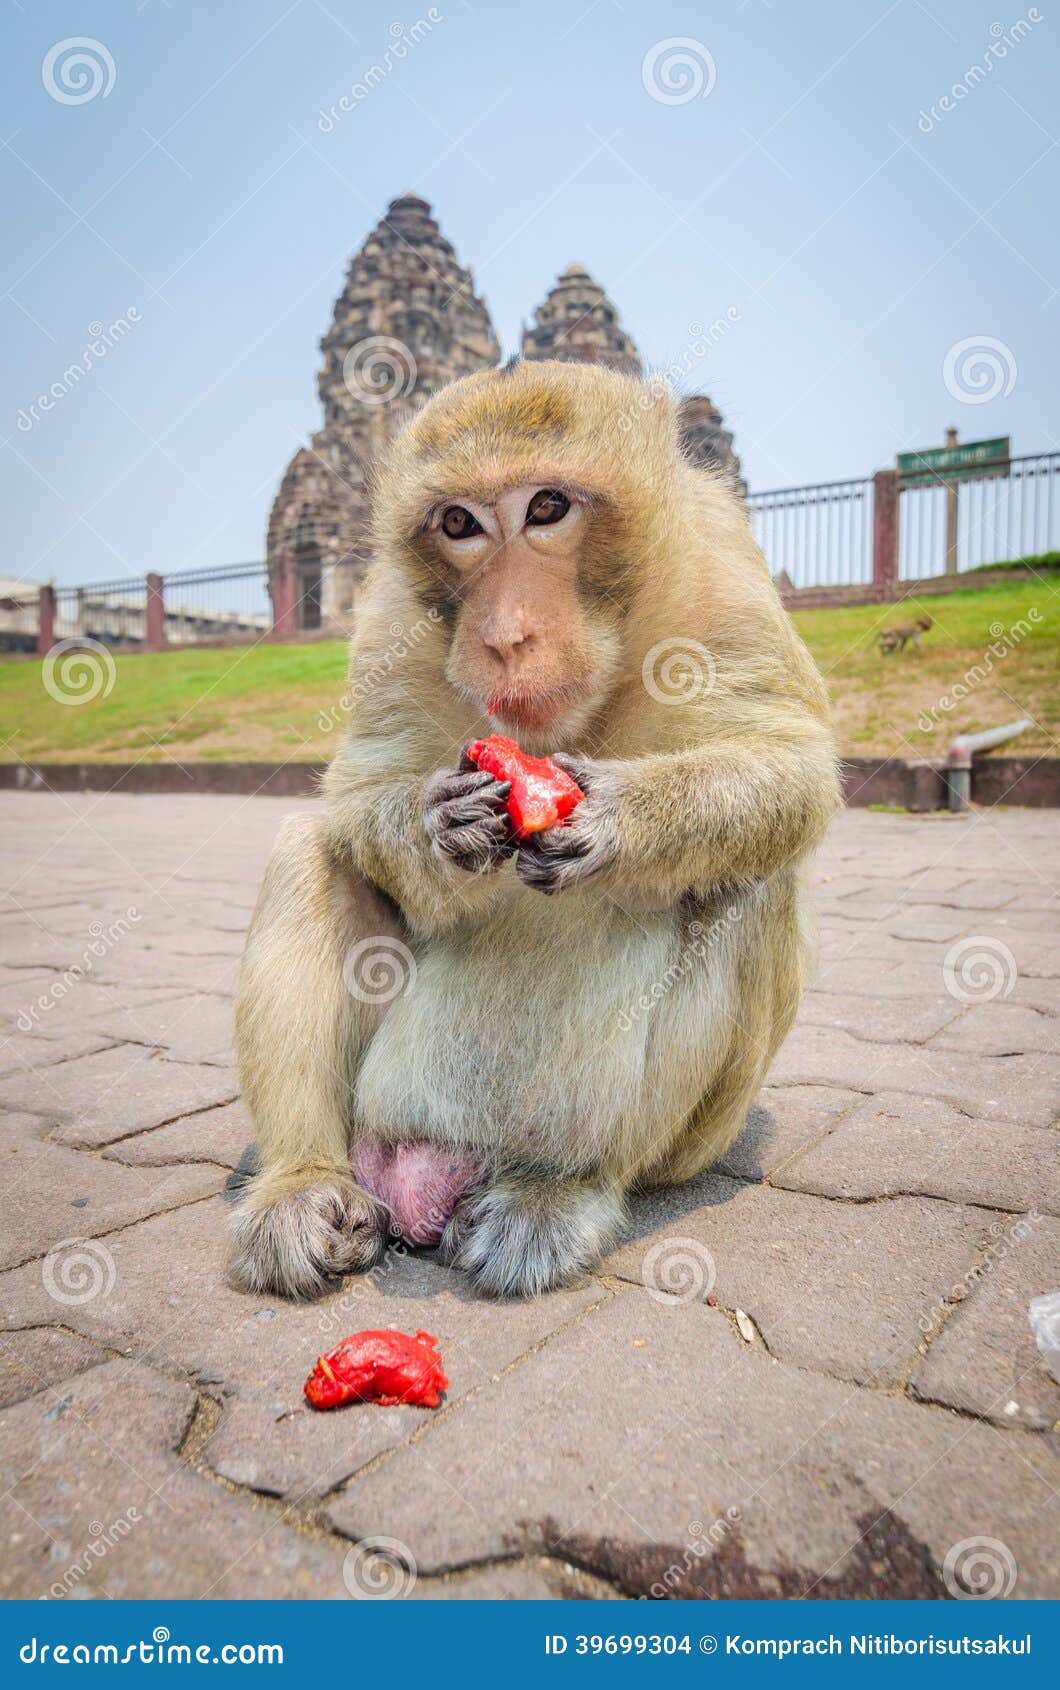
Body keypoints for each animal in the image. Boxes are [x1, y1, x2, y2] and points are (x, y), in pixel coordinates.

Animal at [229, 359, 840, 1301]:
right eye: (459, 524)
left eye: (548, 507)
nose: (505, 634)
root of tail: (429, 1177)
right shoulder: (394, 614)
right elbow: (358, 788)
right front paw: (443, 824)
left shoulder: (719, 564)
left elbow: (792, 761)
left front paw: (622, 820)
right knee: (312, 852)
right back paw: (303, 1186)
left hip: (678, 1145)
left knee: (751, 882)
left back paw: (561, 1188)